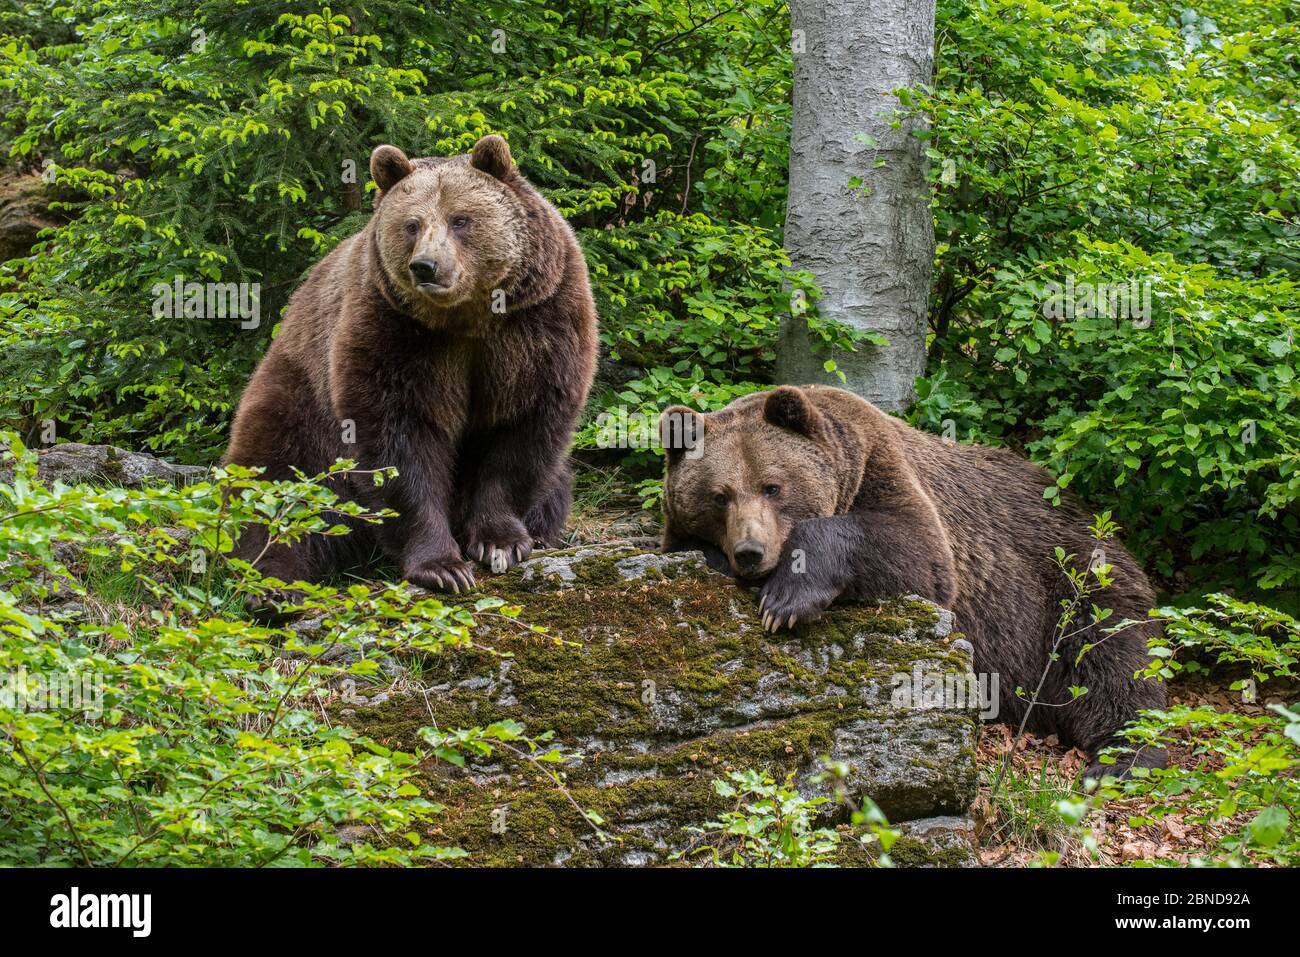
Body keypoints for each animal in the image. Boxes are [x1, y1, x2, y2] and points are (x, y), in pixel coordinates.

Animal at [224, 135, 598, 599]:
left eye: (460, 219)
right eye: (412, 224)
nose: (426, 266)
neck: (466, 318)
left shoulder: (538, 322)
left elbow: (523, 429)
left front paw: (501, 543)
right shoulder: (393, 331)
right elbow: (399, 441)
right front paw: (442, 566)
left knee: (556, 487)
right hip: (298, 400)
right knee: (278, 485)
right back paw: (274, 585)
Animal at [659, 384, 1167, 779]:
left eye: (772, 486)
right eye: (719, 496)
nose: (751, 551)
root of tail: (1091, 512)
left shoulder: (888, 474)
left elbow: (917, 550)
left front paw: (785, 601)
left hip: (1073, 577)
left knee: (1110, 659)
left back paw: (1121, 758)